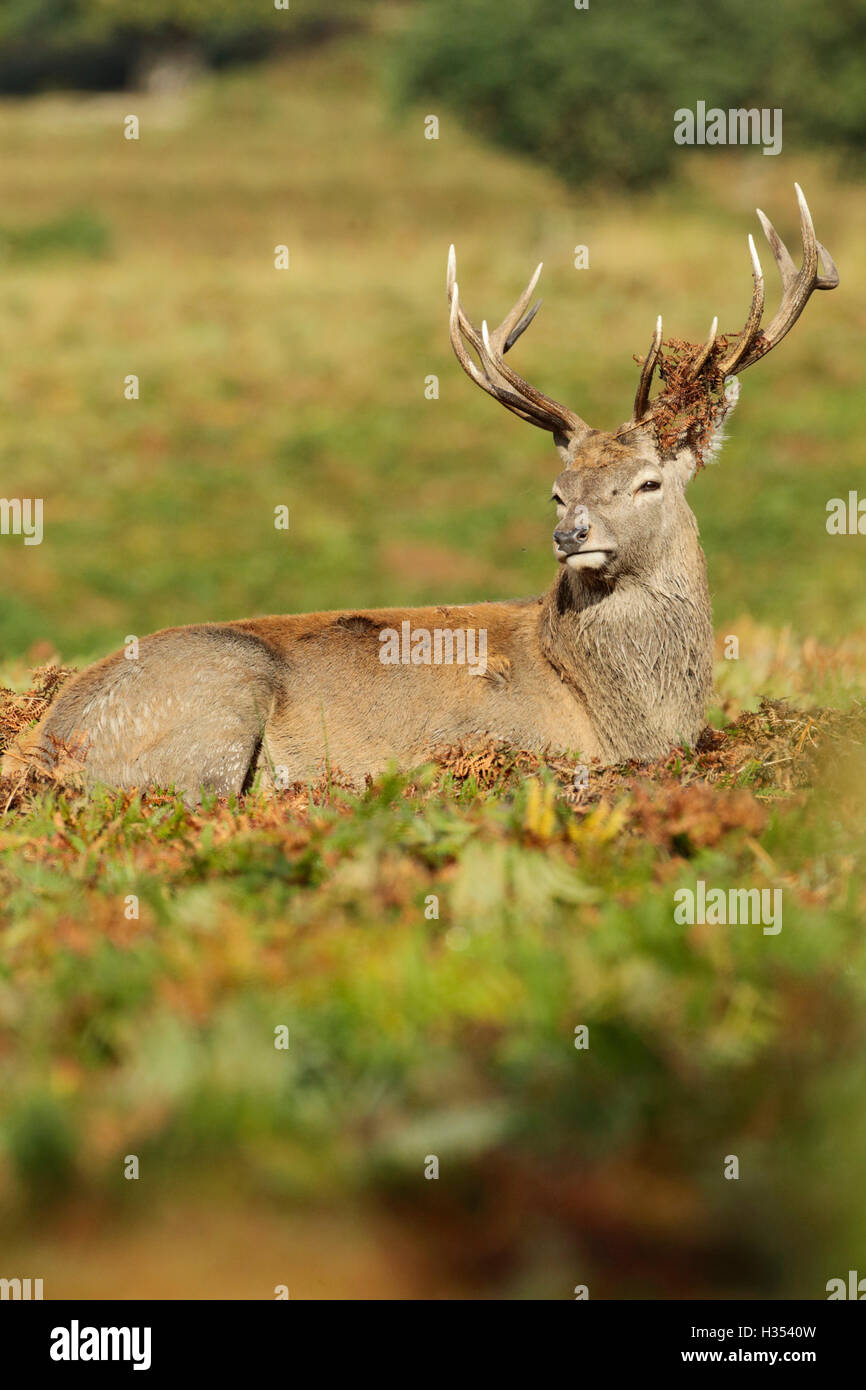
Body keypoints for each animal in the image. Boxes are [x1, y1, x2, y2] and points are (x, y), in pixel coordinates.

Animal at [2, 186, 838, 803]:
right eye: (557, 491)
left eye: (648, 481)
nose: (572, 535)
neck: (622, 715)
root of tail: (49, 746)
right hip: (216, 697)